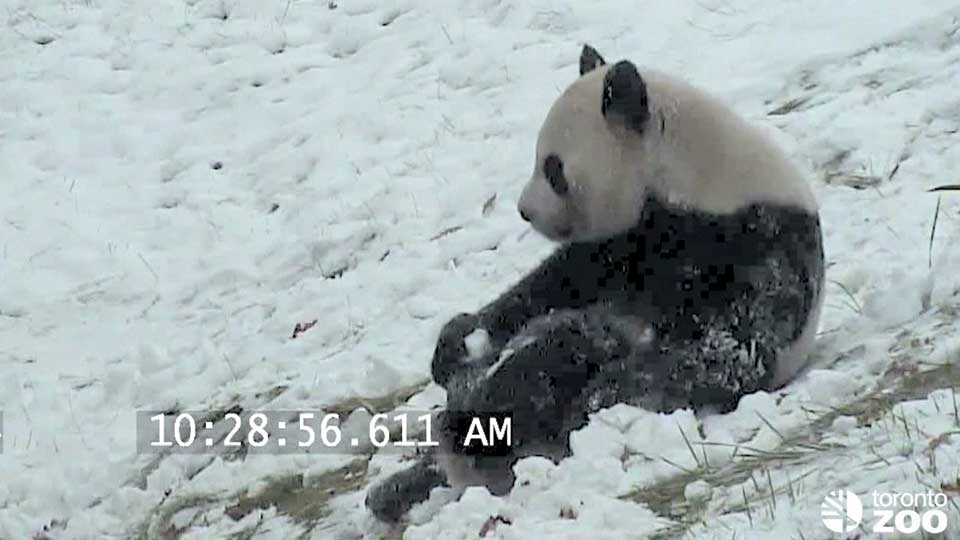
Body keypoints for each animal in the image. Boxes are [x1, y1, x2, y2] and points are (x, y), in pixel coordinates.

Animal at [365, 44, 825, 523]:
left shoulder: (759, 239)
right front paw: (460, 338)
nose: (525, 210)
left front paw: (599, 394)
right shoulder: (617, 244)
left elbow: (732, 345)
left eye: (554, 168)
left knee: (573, 346)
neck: (690, 177)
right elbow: (544, 289)